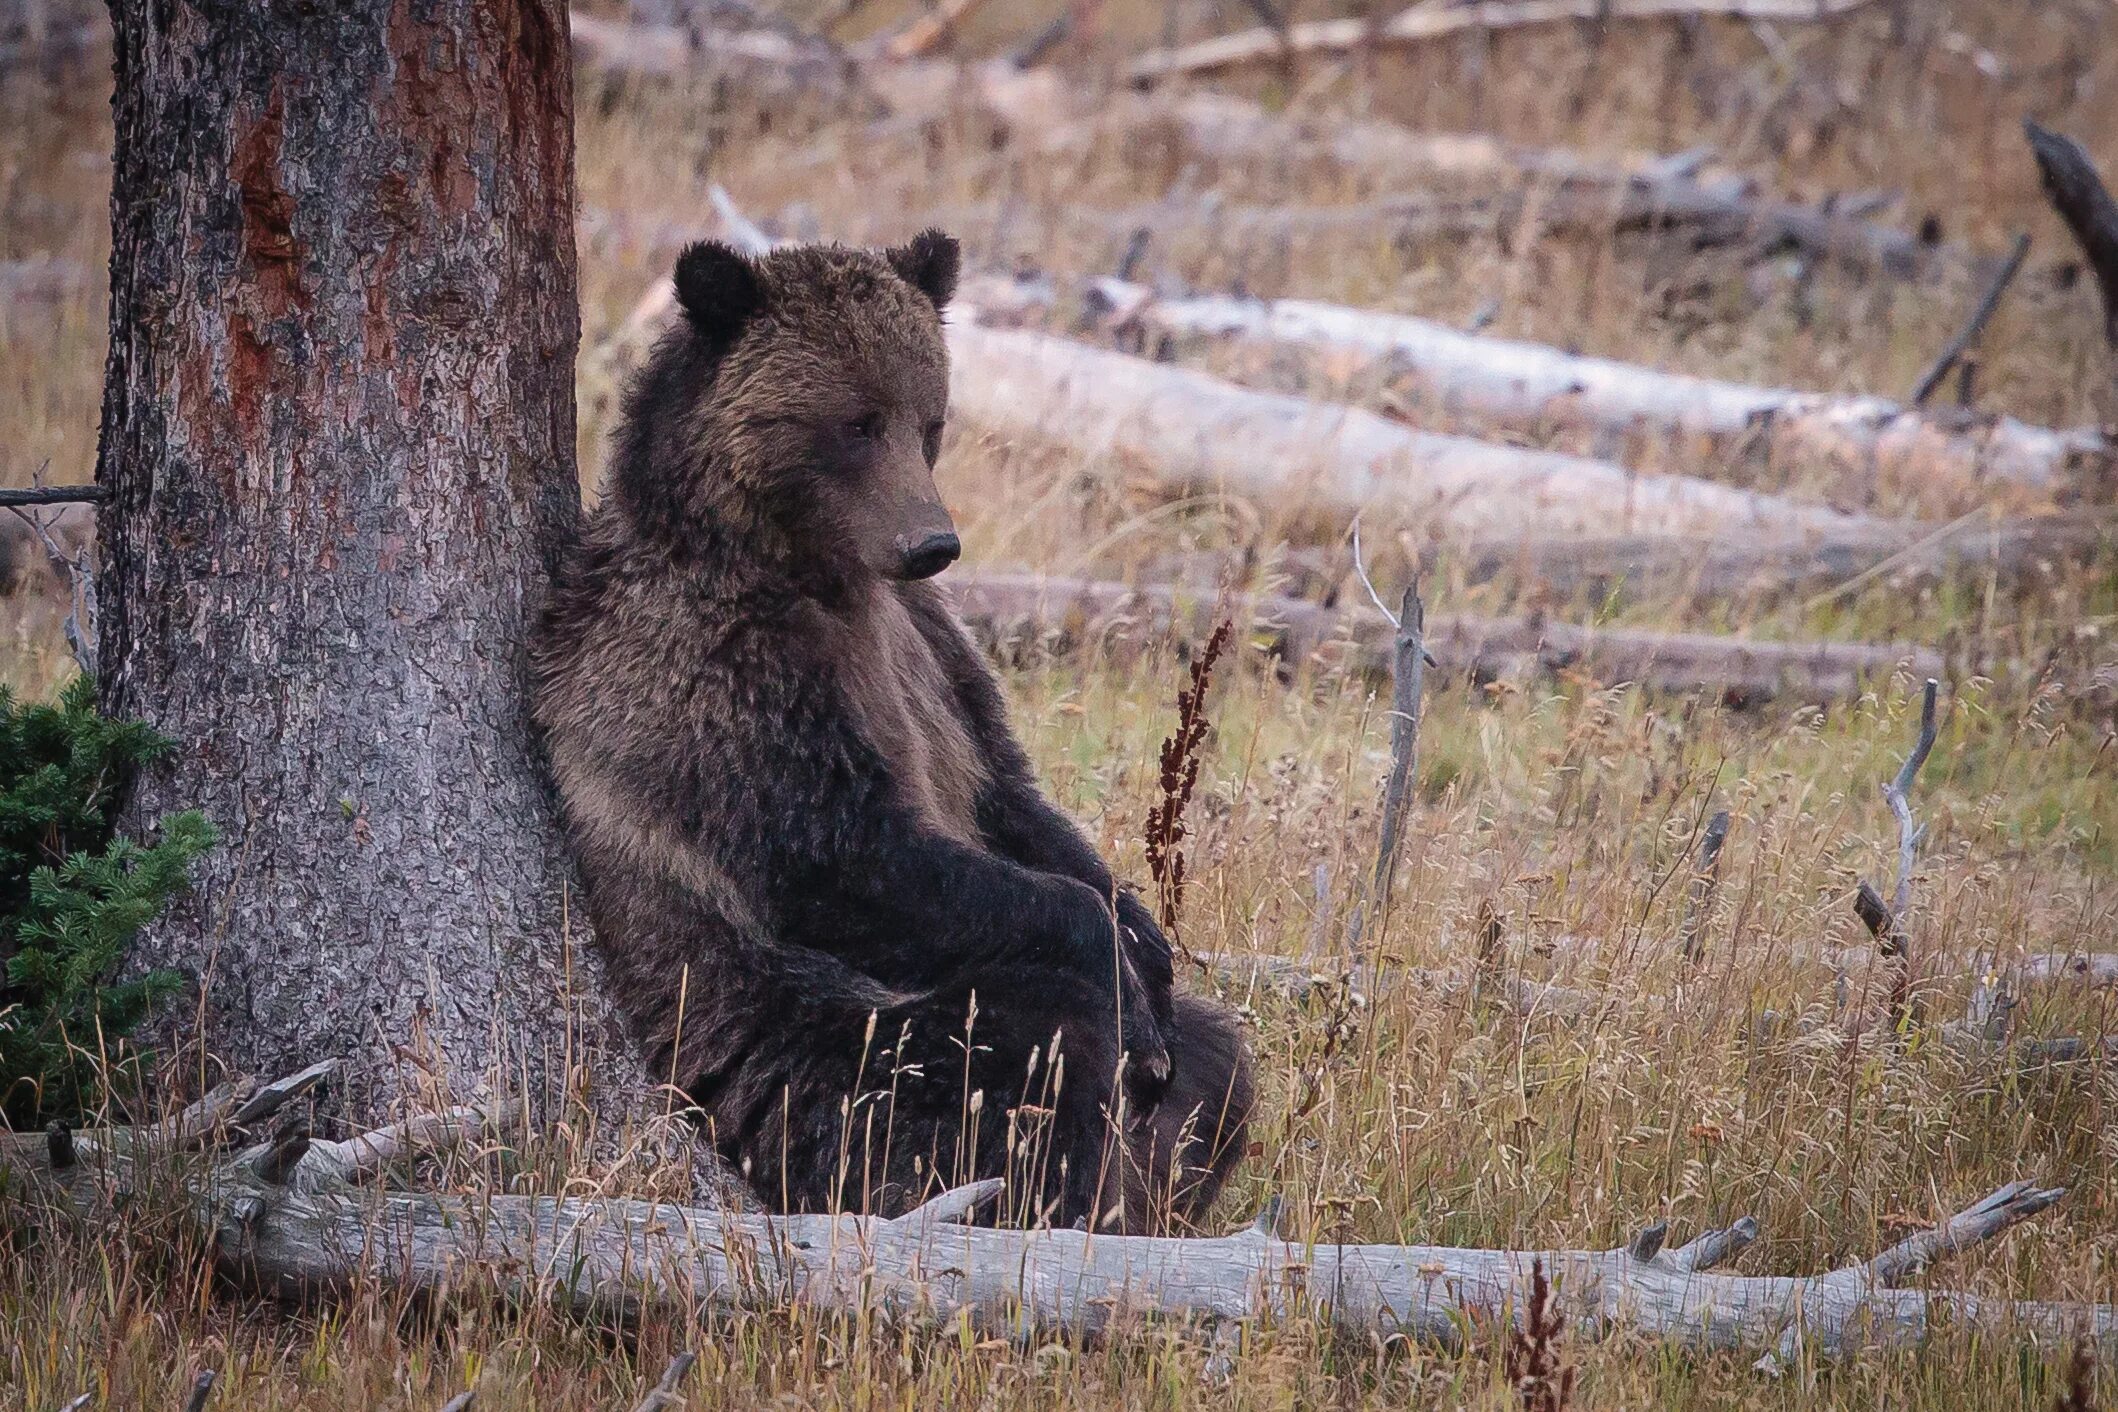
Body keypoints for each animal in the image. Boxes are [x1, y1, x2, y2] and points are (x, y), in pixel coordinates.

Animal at [533, 231, 1253, 1236]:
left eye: (929, 417)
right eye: (856, 422)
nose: (932, 543)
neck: (808, 572)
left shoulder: (931, 650)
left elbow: (1009, 792)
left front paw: (1143, 942)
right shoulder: (715, 674)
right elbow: (850, 853)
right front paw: (1109, 959)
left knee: (1222, 1067)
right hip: (807, 1052)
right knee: (1028, 1054)